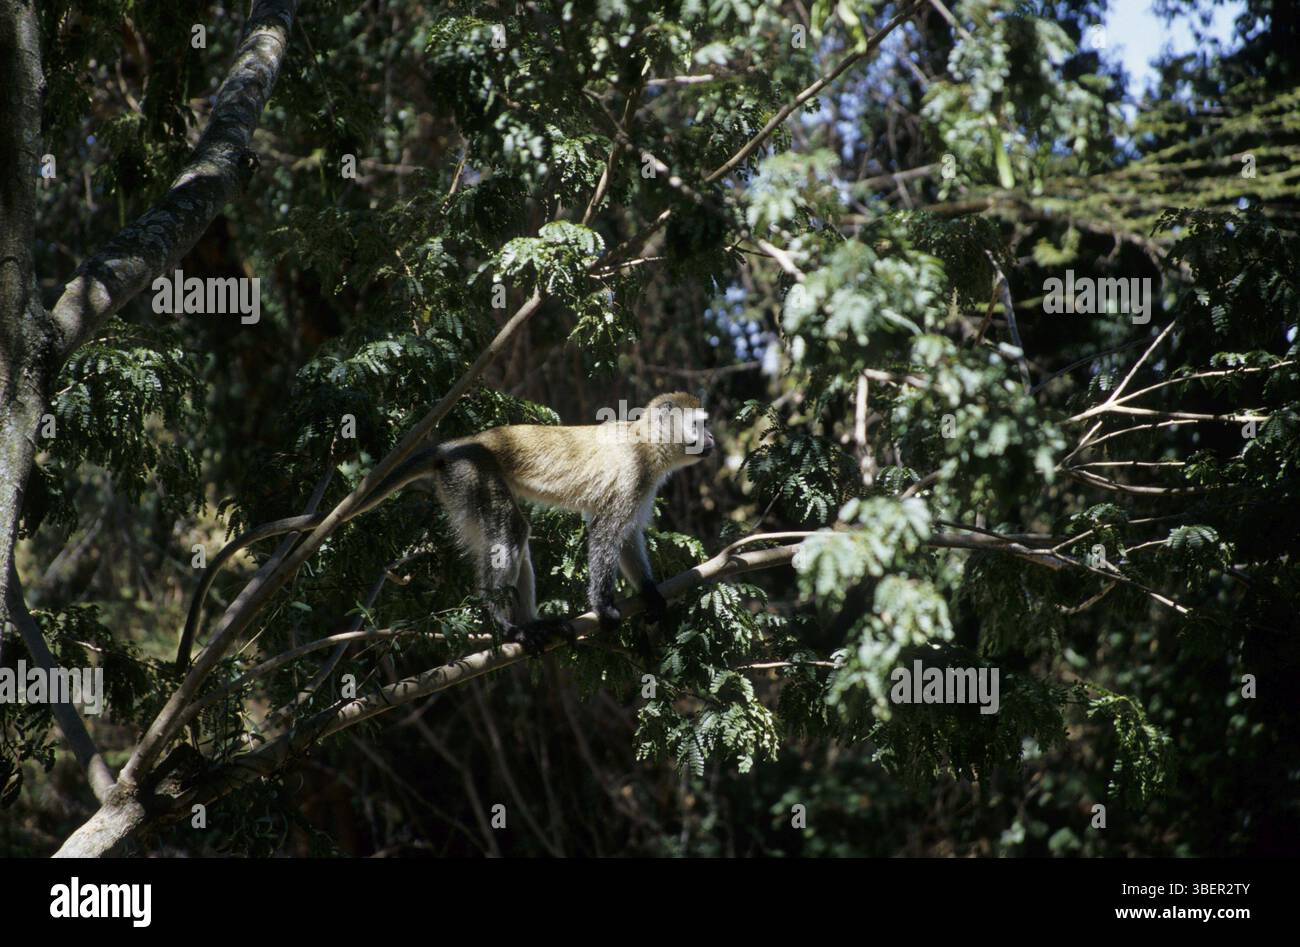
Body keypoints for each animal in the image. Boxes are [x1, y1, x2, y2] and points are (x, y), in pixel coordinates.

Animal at [176, 392, 713, 667]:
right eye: (701, 424)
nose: (710, 439)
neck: (644, 442)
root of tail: (456, 445)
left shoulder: (644, 482)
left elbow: (626, 538)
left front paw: (650, 594)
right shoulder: (631, 472)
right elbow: (604, 534)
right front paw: (603, 607)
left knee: (511, 535)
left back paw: (530, 623)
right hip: (472, 473)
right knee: (511, 529)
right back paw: (505, 624)